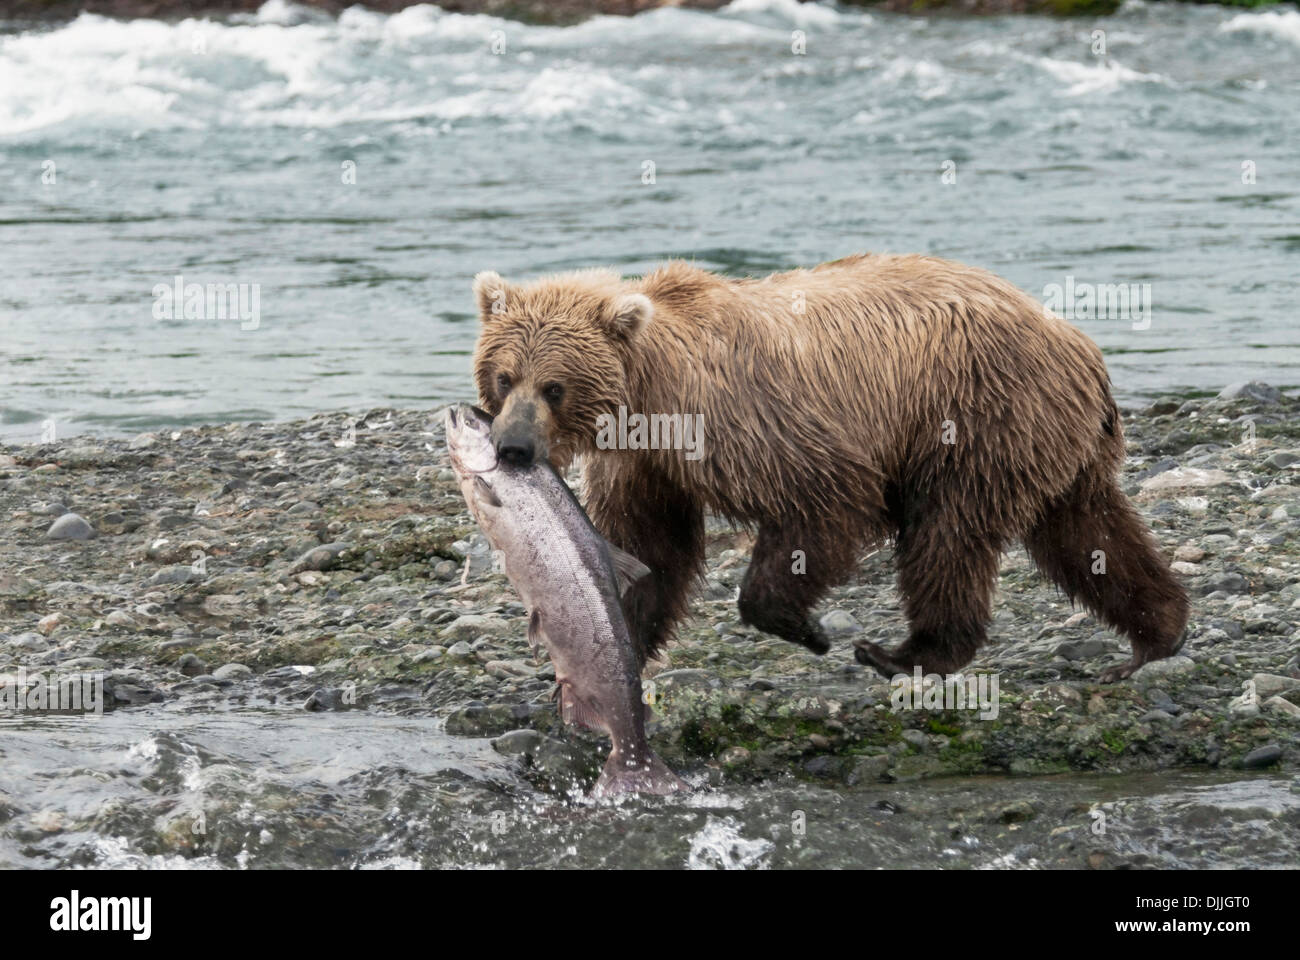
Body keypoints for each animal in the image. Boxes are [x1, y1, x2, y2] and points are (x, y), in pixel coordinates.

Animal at [470, 254, 1189, 683]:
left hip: (975, 415)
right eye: (504, 377)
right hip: (1053, 440)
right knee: (1088, 531)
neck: (649, 398)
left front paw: (804, 626)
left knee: (949, 535)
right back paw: (1157, 632)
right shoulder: (646, 462)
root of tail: (1079, 343)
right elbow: (651, 549)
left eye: (555, 386)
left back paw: (905, 652)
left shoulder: (750, 420)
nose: (513, 448)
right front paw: (622, 643)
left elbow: (824, 499)